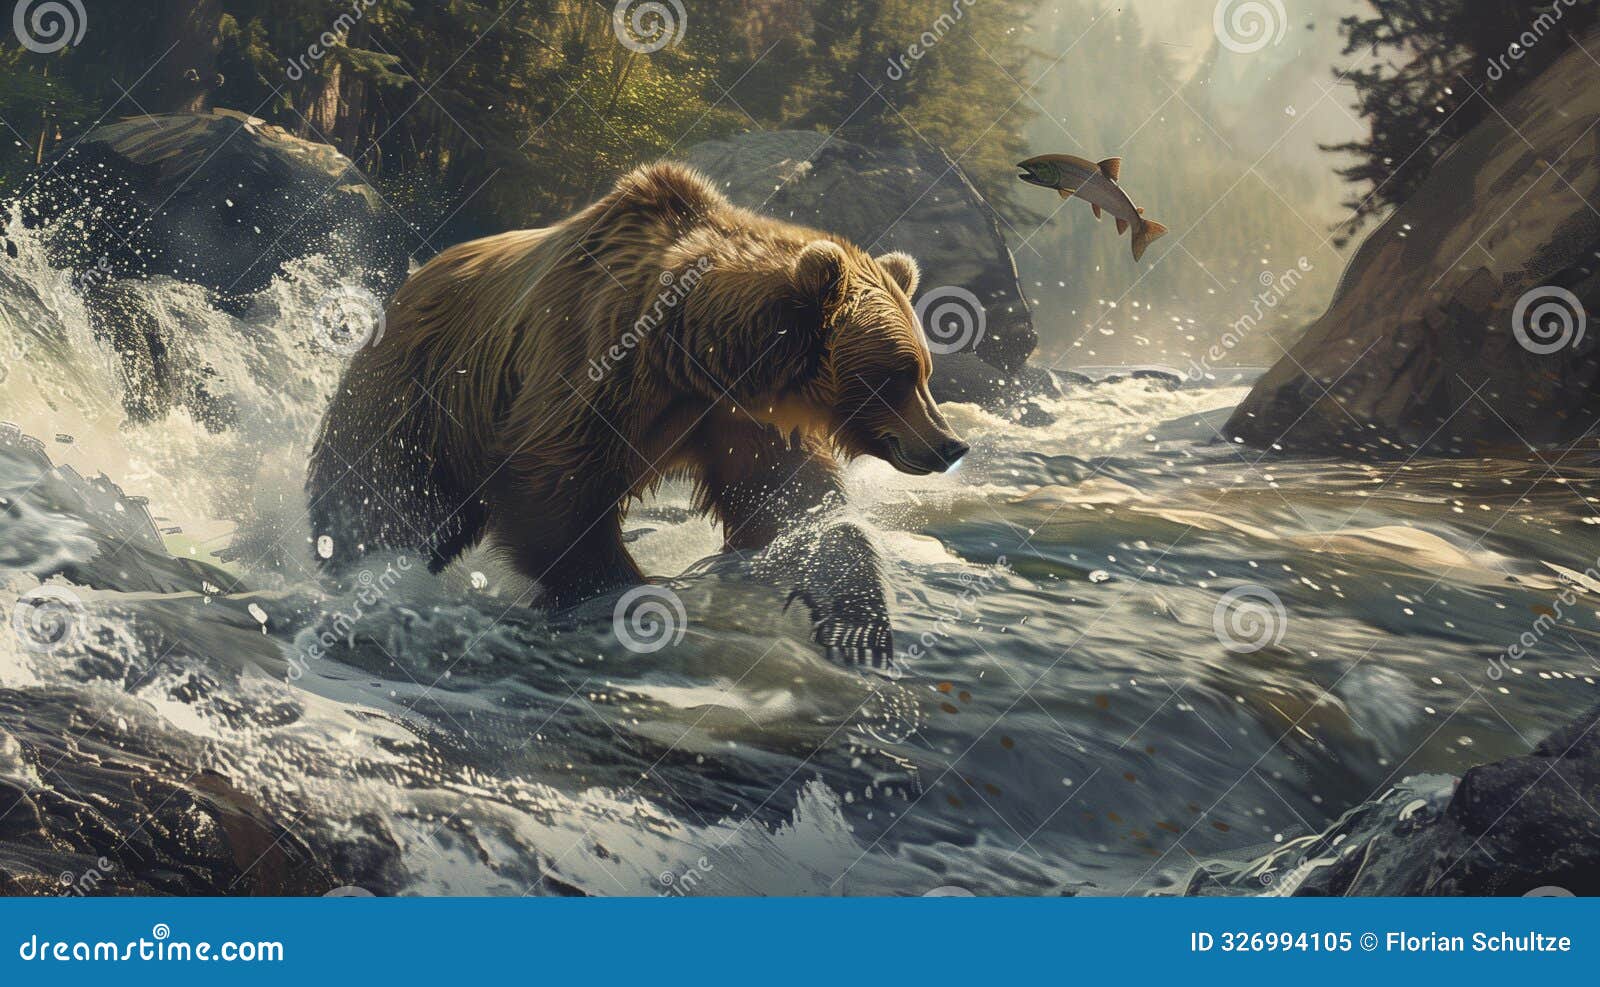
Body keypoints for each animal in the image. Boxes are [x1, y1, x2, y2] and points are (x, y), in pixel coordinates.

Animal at [306, 162, 968, 661]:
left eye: (924, 373)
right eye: (898, 375)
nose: (949, 444)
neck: (698, 355)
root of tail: (404, 287)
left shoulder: (736, 417)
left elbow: (791, 502)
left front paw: (860, 626)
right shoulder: (596, 359)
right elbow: (551, 486)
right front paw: (627, 595)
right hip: (417, 397)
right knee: (386, 502)